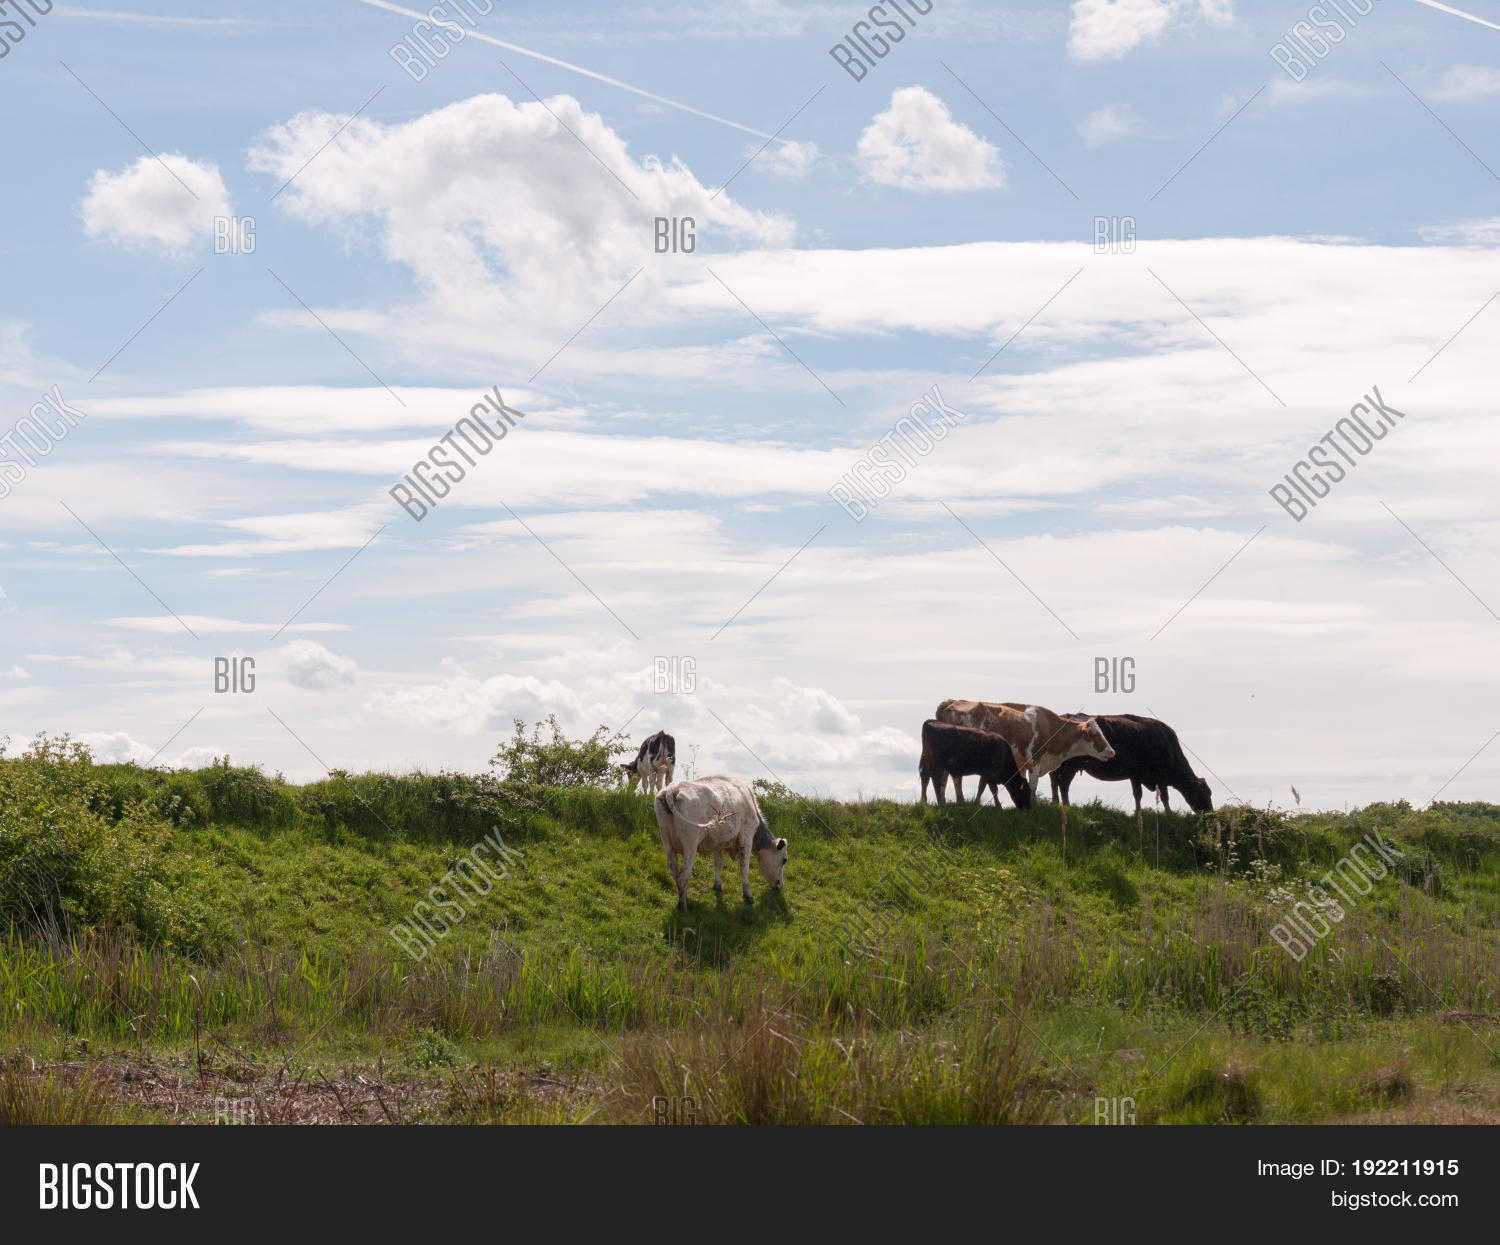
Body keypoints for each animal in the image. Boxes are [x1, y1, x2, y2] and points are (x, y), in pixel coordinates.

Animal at [654, 775, 788, 910]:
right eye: (784, 860)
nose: (781, 885)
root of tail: (674, 788)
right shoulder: (746, 836)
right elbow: (744, 867)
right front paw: (748, 896)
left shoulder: (717, 843)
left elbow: (719, 863)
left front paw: (717, 885)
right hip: (690, 844)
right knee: (685, 873)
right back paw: (683, 905)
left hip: (667, 842)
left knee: (674, 871)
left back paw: (683, 897)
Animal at [935, 699, 1114, 846]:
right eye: (1096, 735)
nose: (1112, 752)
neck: (1050, 727)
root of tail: (952, 701)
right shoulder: (1035, 760)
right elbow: (1033, 785)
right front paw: (1033, 806)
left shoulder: (1021, 763)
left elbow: (1021, 783)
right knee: (955, 778)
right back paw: (959, 800)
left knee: (944, 777)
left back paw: (945, 801)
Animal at [1048, 713, 1213, 837]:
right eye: (1205, 794)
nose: (1210, 813)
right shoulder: (1161, 776)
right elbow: (1165, 797)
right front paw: (1169, 814)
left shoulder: (1136, 775)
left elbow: (1137, 795)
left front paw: (1137, 814)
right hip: (1071, 765)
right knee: (1063, 782)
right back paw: (1067, 806)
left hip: (1061, 764)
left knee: (1054, 779)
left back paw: (1055, 802)